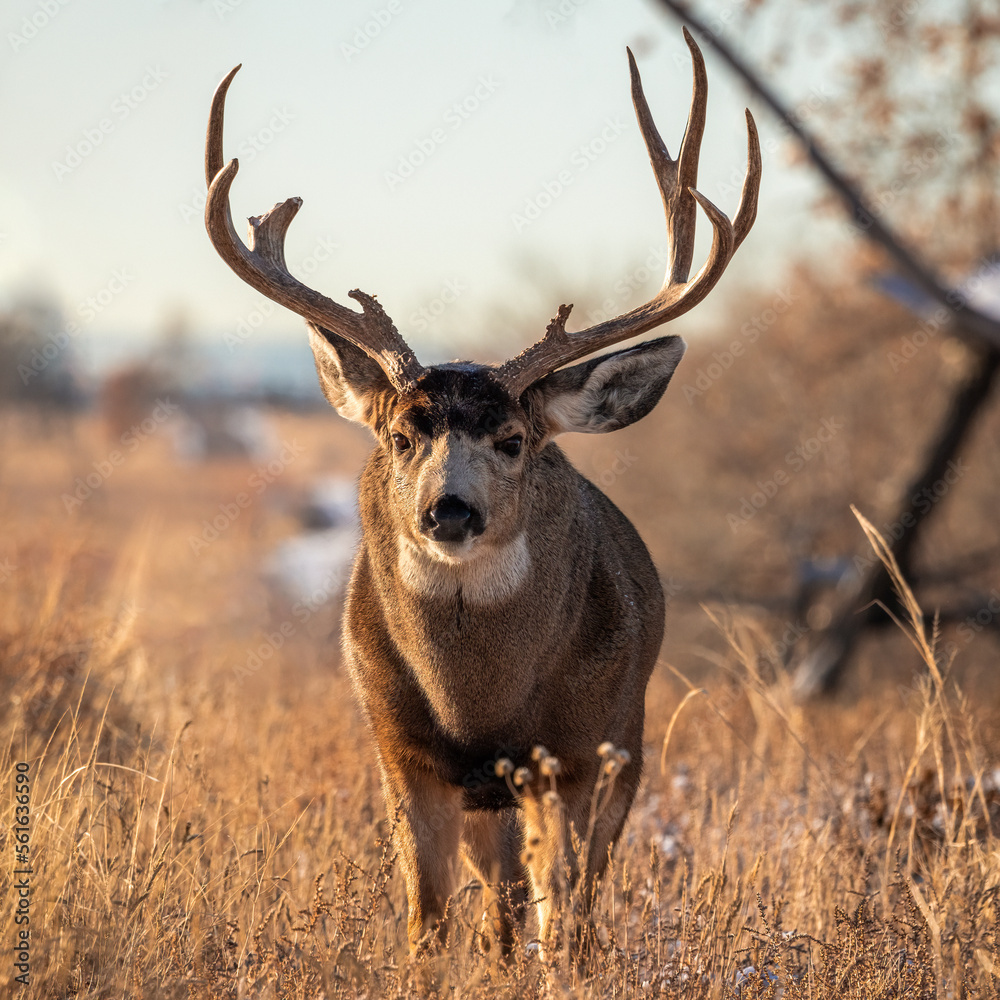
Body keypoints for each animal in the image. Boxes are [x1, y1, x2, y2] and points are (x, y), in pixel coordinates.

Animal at [204, 28, 759, 958]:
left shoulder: (579, 750)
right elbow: (426, 920)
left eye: (513, 440)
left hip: (625, 743)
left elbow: (561, 911)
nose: (450, 510)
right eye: (399, 436)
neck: (482, 707)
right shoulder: (403, 753)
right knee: (497, 898)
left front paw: (557, 962)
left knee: (566, 894)